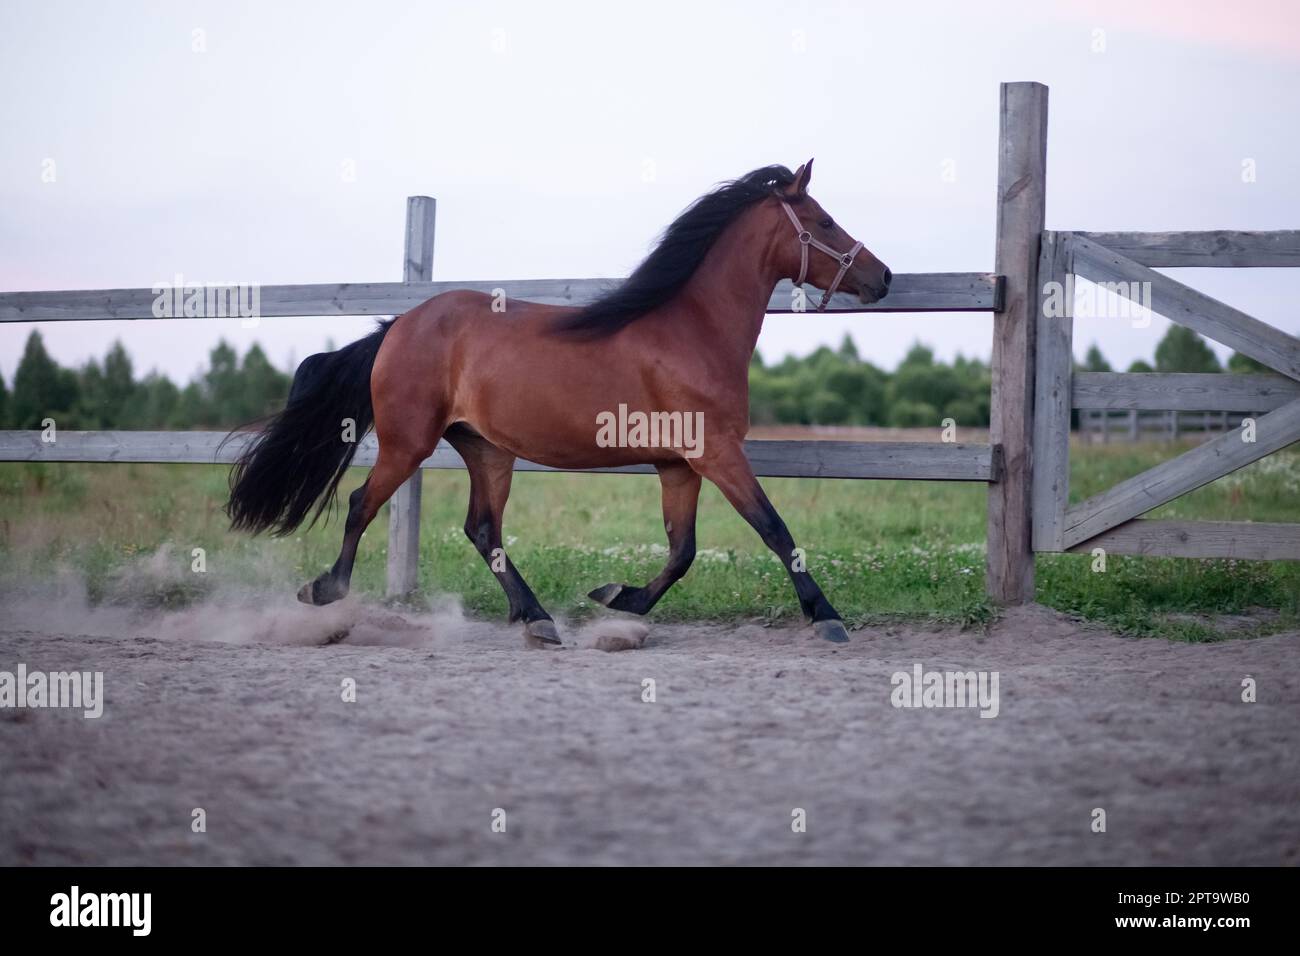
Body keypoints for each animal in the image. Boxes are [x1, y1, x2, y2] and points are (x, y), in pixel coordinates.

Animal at [225, 159, 891, 644]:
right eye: (824, 221)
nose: (883, 277)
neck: (692, 330)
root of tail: (397, 326)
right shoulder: (718, 454)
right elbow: (775, 530)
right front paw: (827, 618)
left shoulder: (678, 465)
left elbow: (682, 551)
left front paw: (618, 598)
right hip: (407, 441)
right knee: (364, 503)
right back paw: (325, 592)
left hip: (487, 449)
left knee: (482, 528)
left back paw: (538, 618)